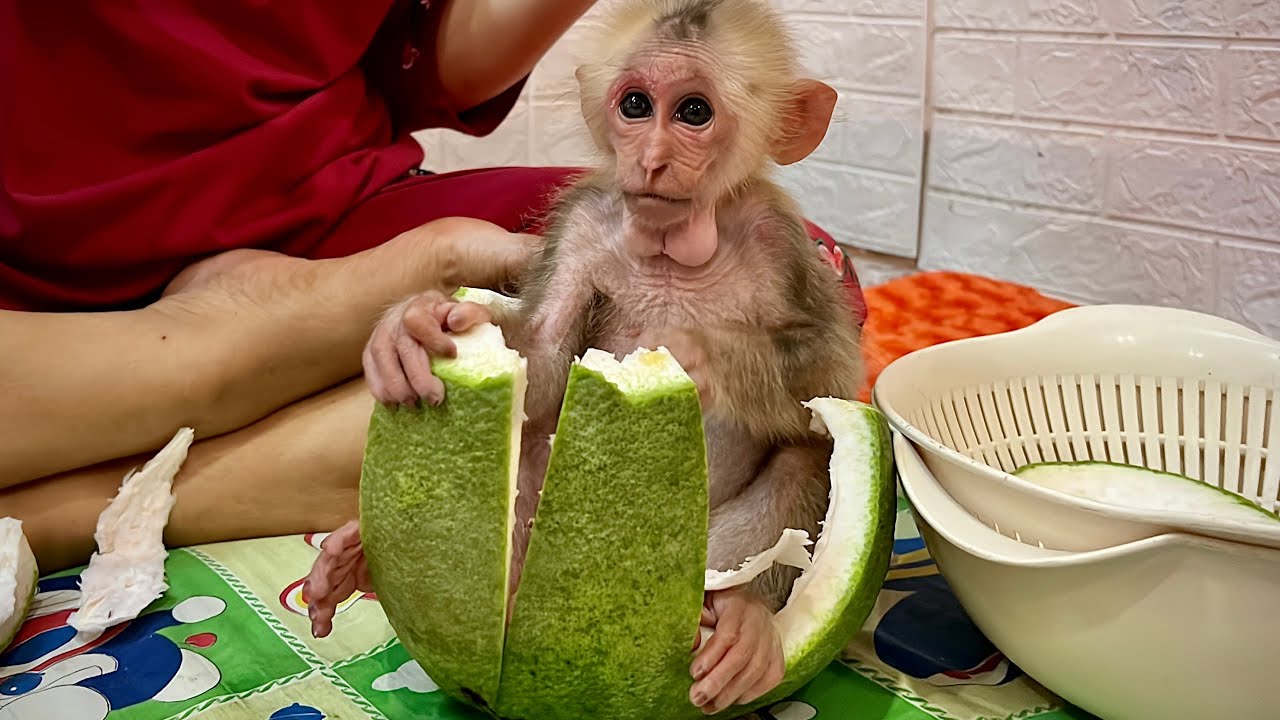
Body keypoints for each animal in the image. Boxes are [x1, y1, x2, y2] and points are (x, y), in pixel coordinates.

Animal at [305, 0, 864, 714]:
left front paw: (705, 352)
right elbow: (543, 365)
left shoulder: (782, 243)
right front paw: (410, 327)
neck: (672, 250)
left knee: (804, 457)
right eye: (635, 104)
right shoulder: (583, 223)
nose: (649, 160)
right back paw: (353, 558)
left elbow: (827, 379)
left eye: (694, 112)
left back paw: (744, 618)